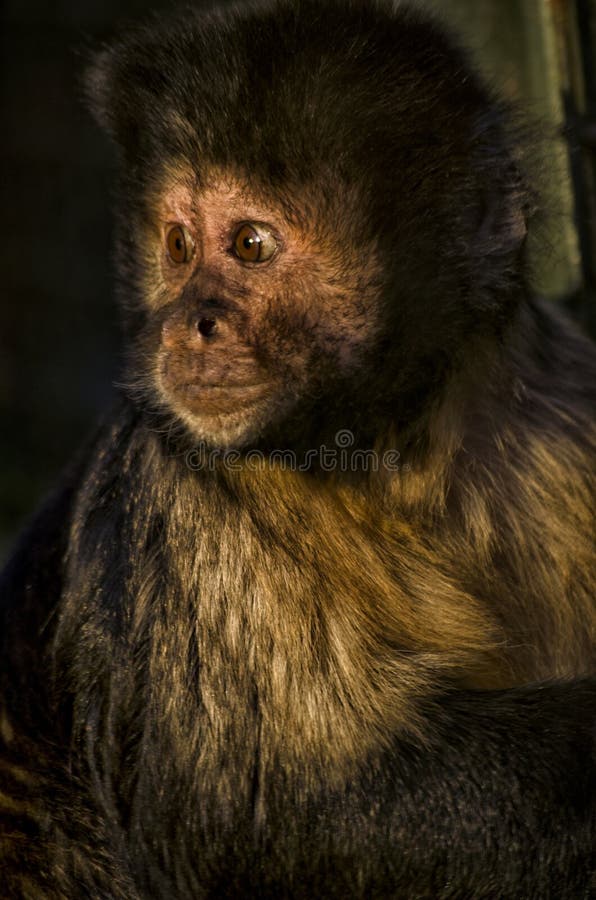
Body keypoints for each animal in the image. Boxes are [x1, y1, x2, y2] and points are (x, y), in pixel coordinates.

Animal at [1, 0, 596, 897]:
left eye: (250, 245)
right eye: (180, 246)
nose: (190, 322)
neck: (392, 443)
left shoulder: (566, 416)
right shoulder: (179, 494)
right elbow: (271, 818)